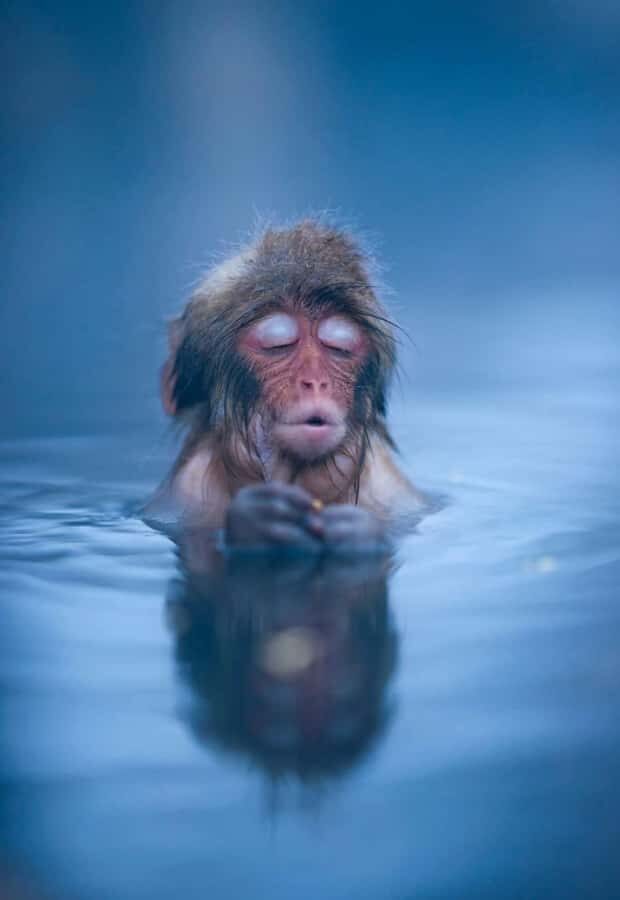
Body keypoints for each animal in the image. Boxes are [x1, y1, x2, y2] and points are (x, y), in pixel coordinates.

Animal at [148, 220, 424, 551]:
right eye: (277, 346)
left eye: (339, 348)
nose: (315, 382)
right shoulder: (186, 493)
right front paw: (257, 519)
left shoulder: (390, 490)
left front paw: (356, 532)